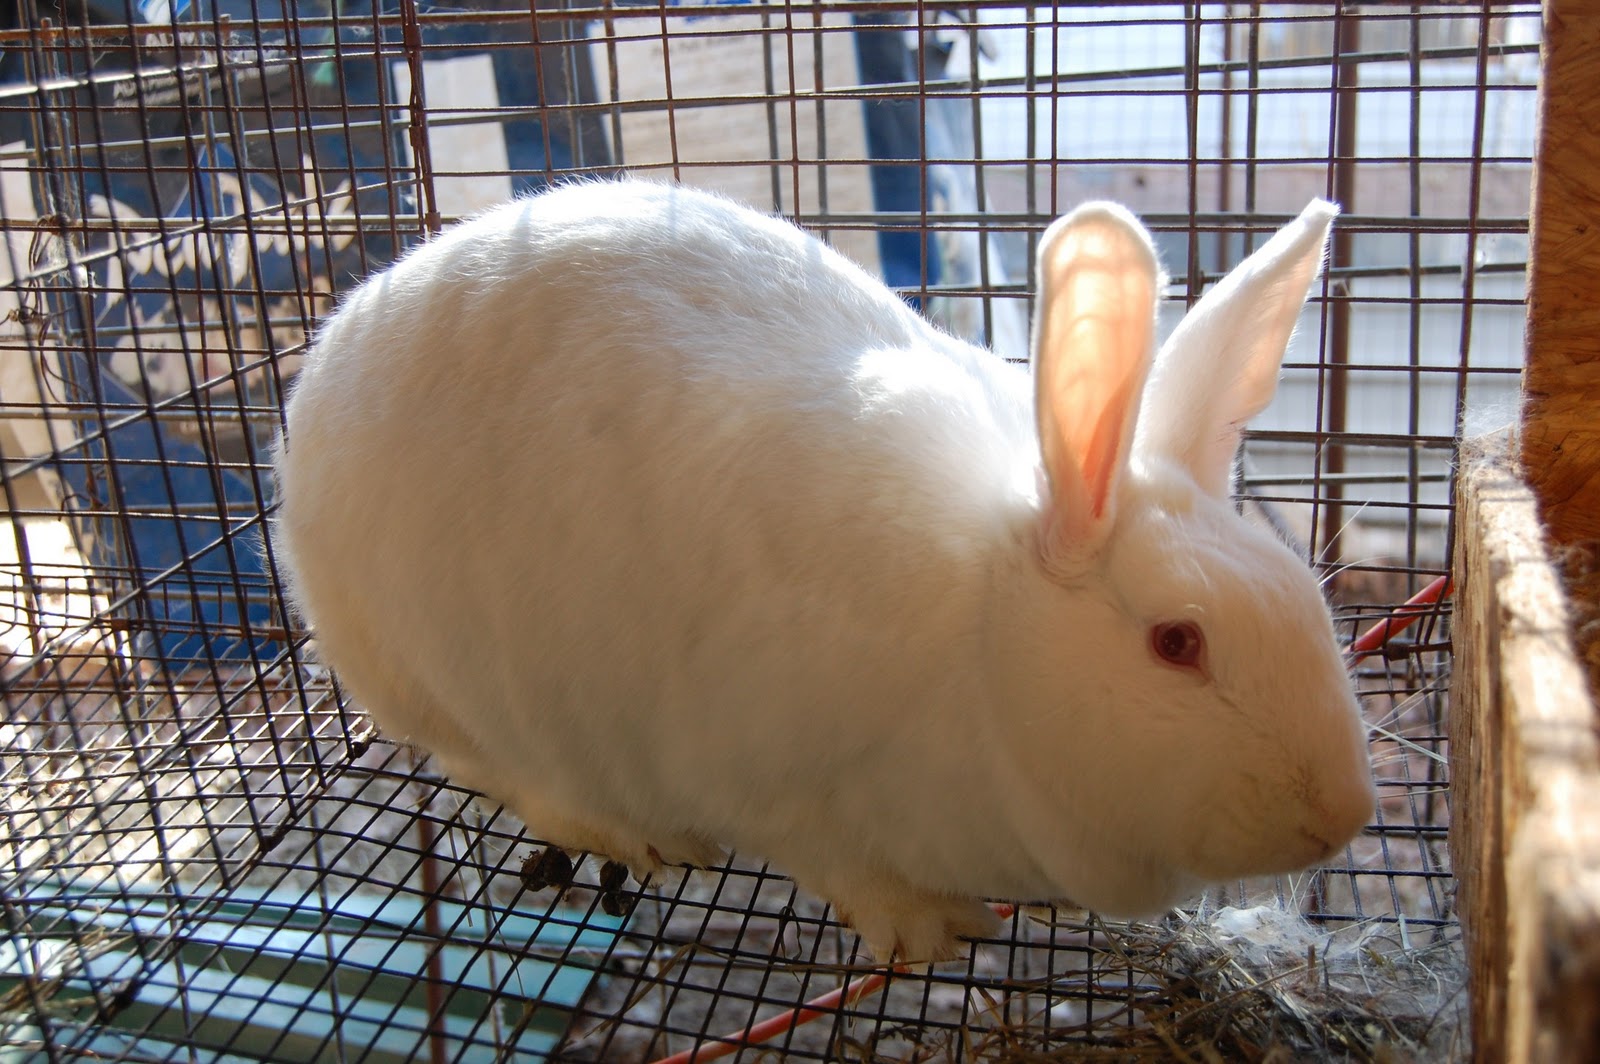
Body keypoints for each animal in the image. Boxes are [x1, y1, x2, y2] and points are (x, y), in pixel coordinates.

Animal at [272, 178, 1376, 963]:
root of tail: (310, 402)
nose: (1342, 818)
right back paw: (637, 836)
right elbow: (841, 863)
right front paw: (933, 931)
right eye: (1177, 642)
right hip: (455, 684)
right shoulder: (773, 780)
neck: (986, 633)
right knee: (503, 769)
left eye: (1305, 601)